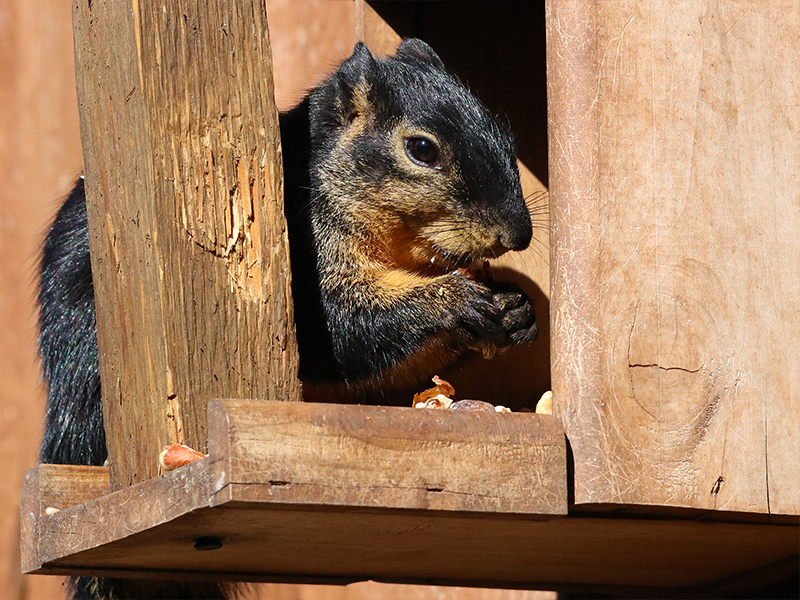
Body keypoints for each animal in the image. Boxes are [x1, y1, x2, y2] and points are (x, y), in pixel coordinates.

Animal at [37, 39, 538, 599]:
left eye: (502, 129)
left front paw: (515, 311)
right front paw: (455, 300)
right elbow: (341, 330)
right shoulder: (303, 248)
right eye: (422, 150)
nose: (518, 233)